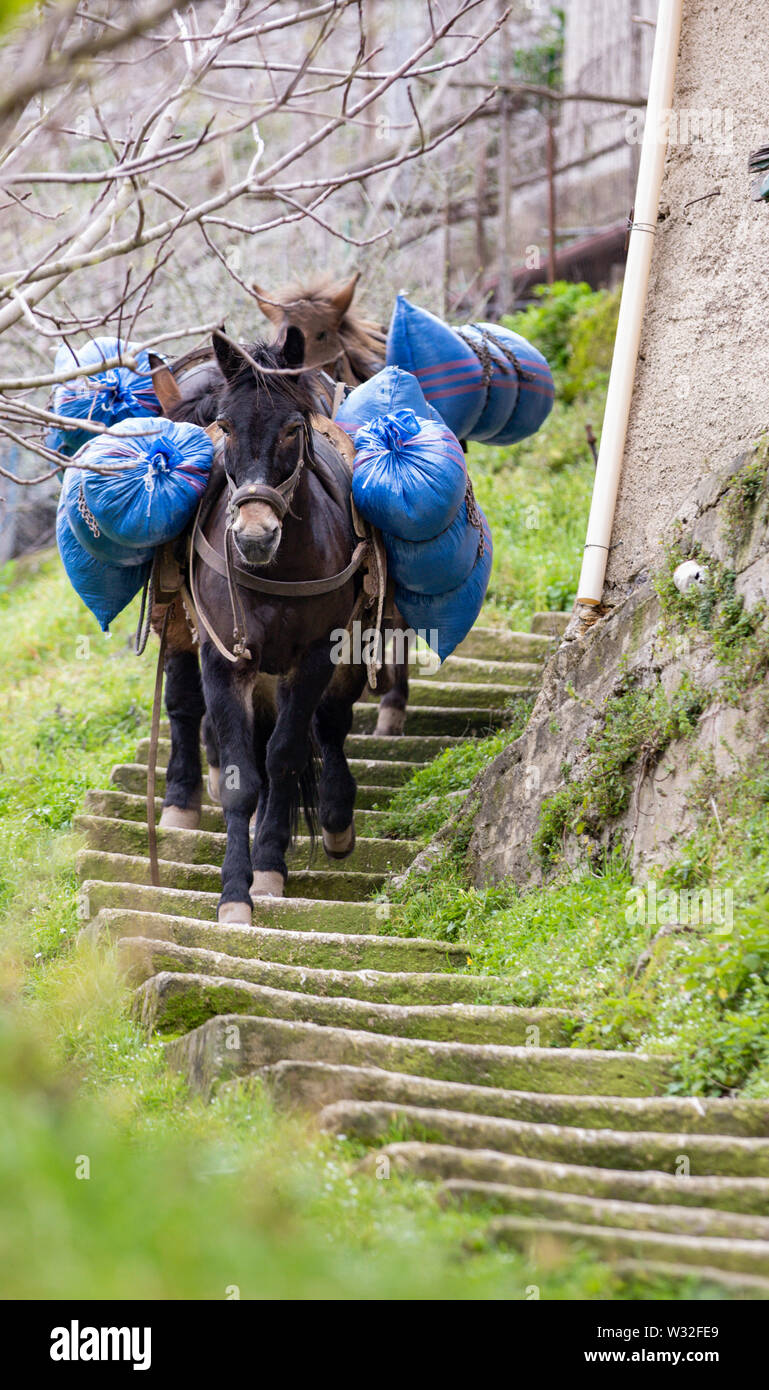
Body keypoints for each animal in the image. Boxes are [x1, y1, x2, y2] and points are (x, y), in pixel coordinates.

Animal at [152, 327, 379, 924]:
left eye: (293, 428)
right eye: (227, 426)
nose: (254, 536)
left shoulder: (318, 655)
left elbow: (285, 755)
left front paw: (271, 868)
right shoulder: (223, 657)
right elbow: (240, 775)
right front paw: (235, 893)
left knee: (328, 725)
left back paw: (335, 820)